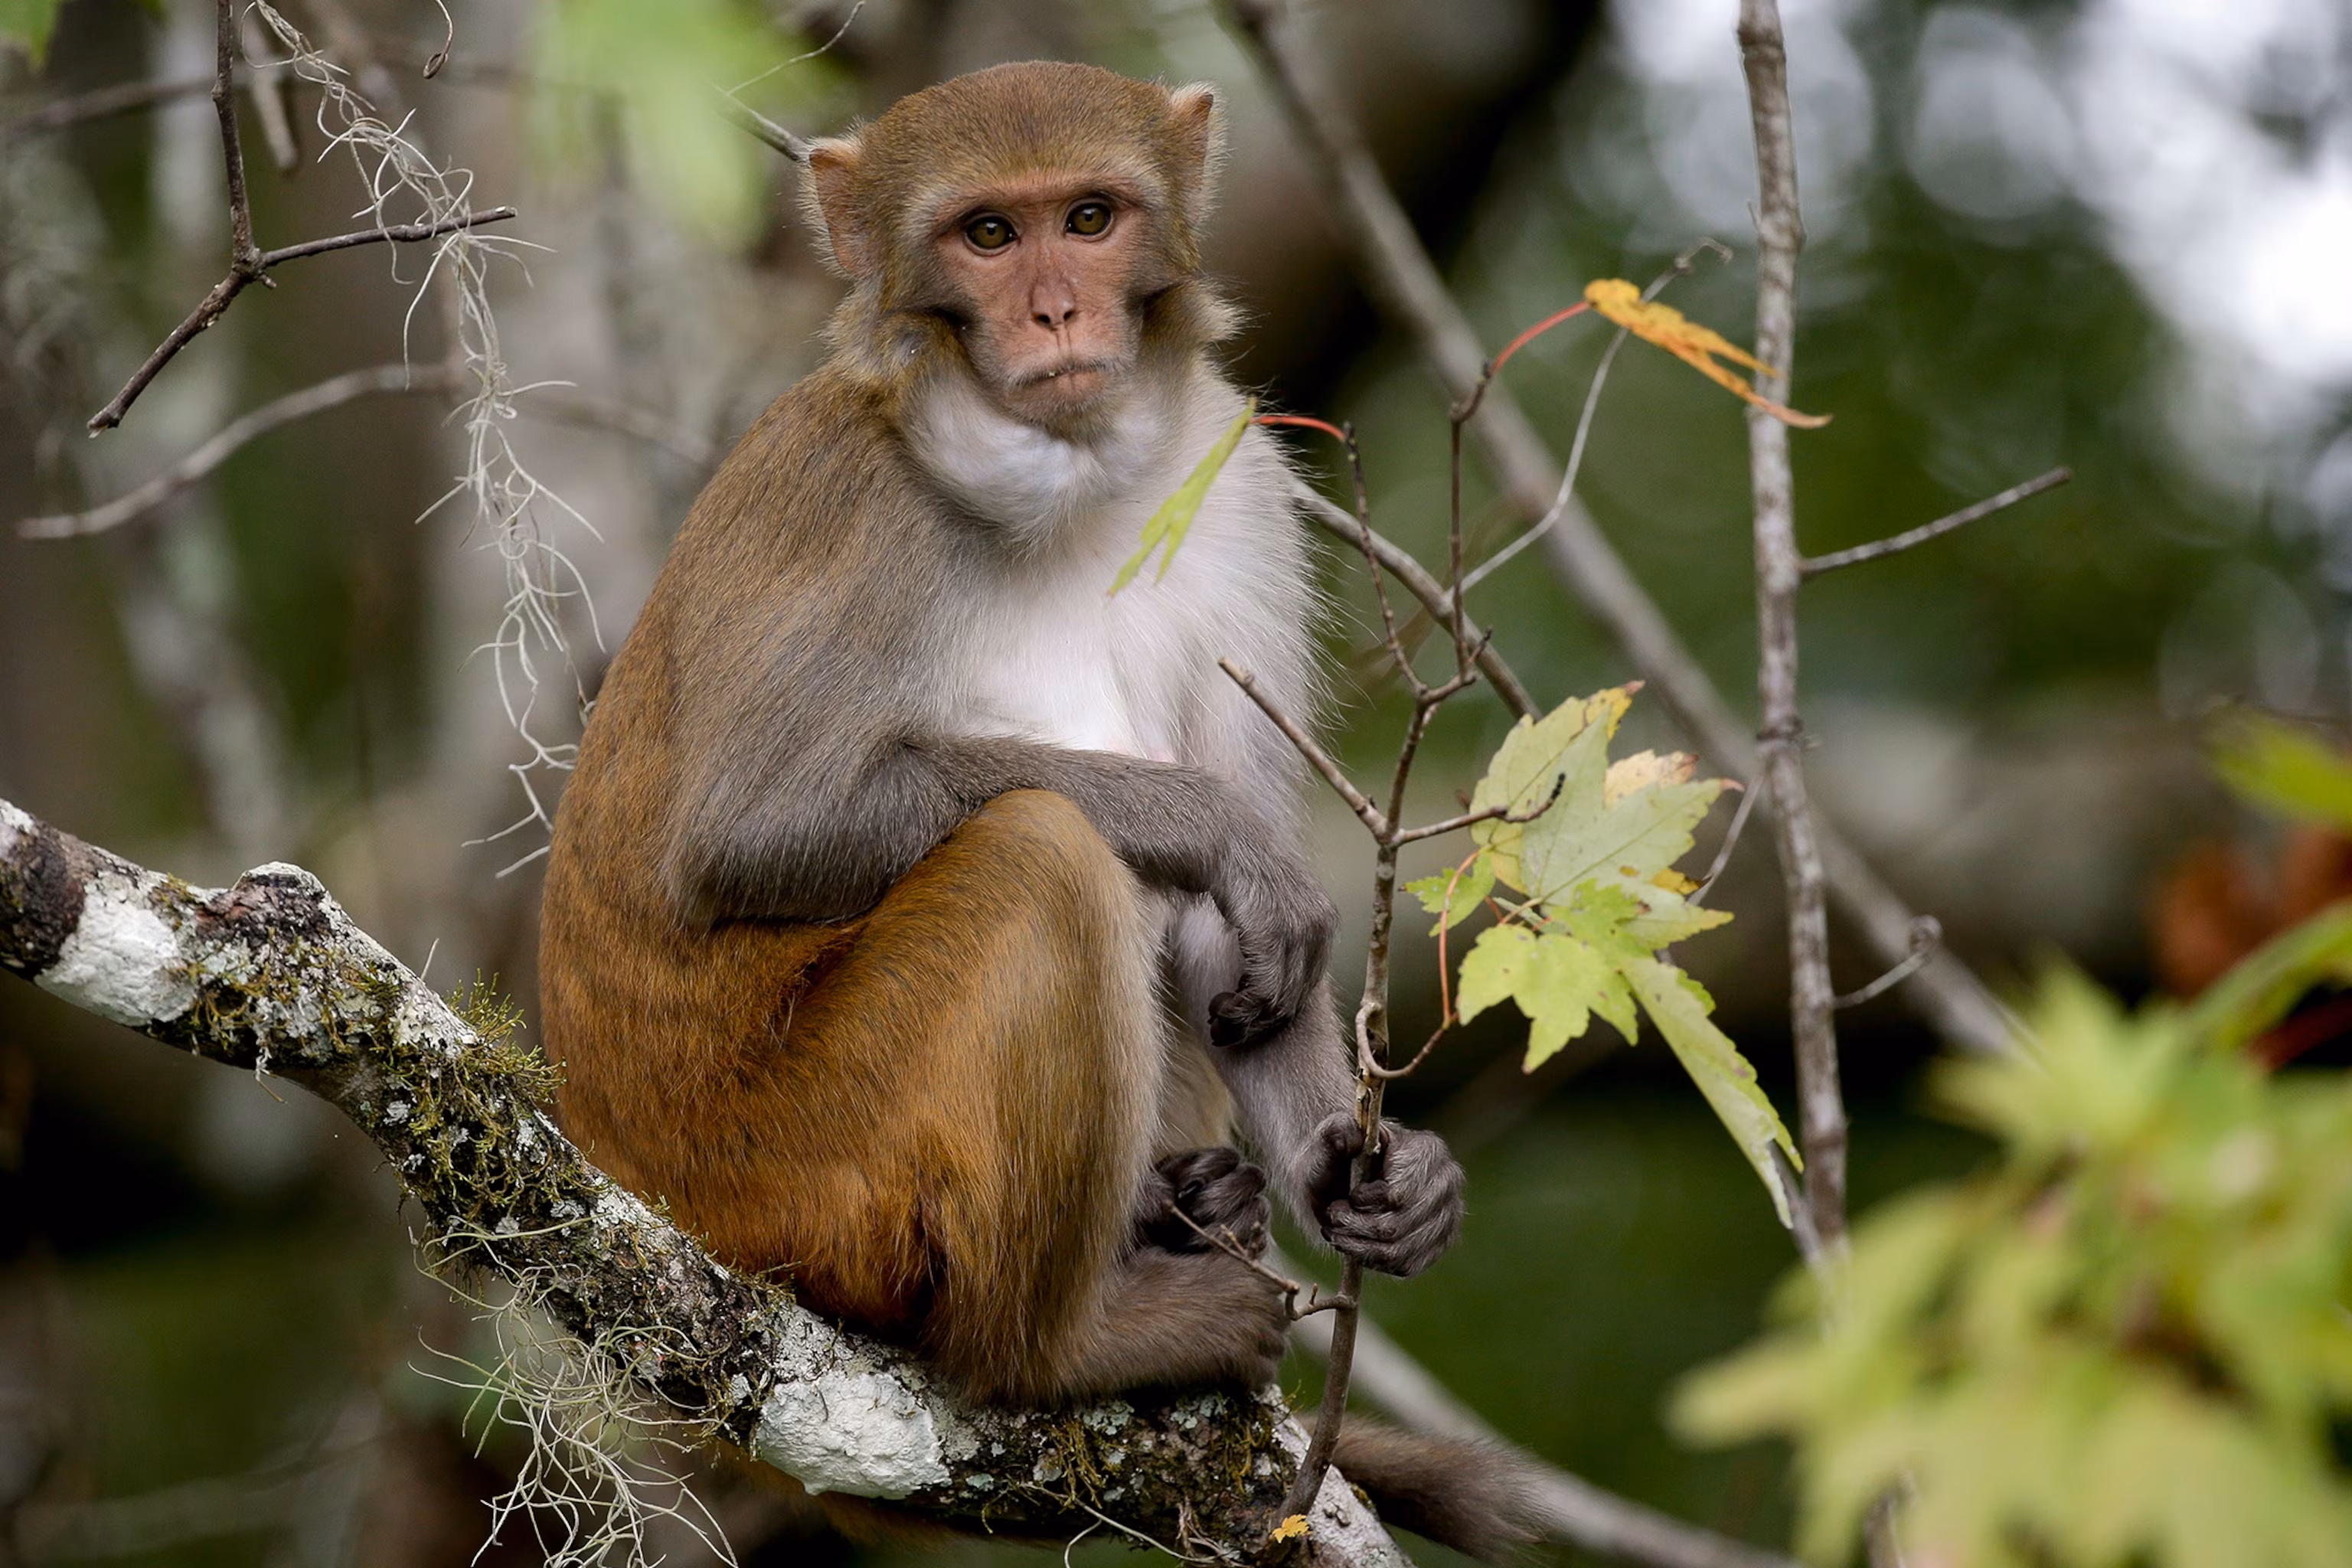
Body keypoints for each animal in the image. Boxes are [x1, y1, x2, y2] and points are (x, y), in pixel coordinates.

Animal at [538, 60, 1527, 1555]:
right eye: (988, 237)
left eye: (1090, 218)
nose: (1055, 311)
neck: (1066, 479)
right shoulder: (848, 497)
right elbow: (755, 830)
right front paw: (1215, 829)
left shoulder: (1238, 490)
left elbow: (1242, 957)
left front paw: (1371, 1175)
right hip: (797, 1168)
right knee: (1041, 855)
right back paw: (1064, 1347)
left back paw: (1196, 1205)